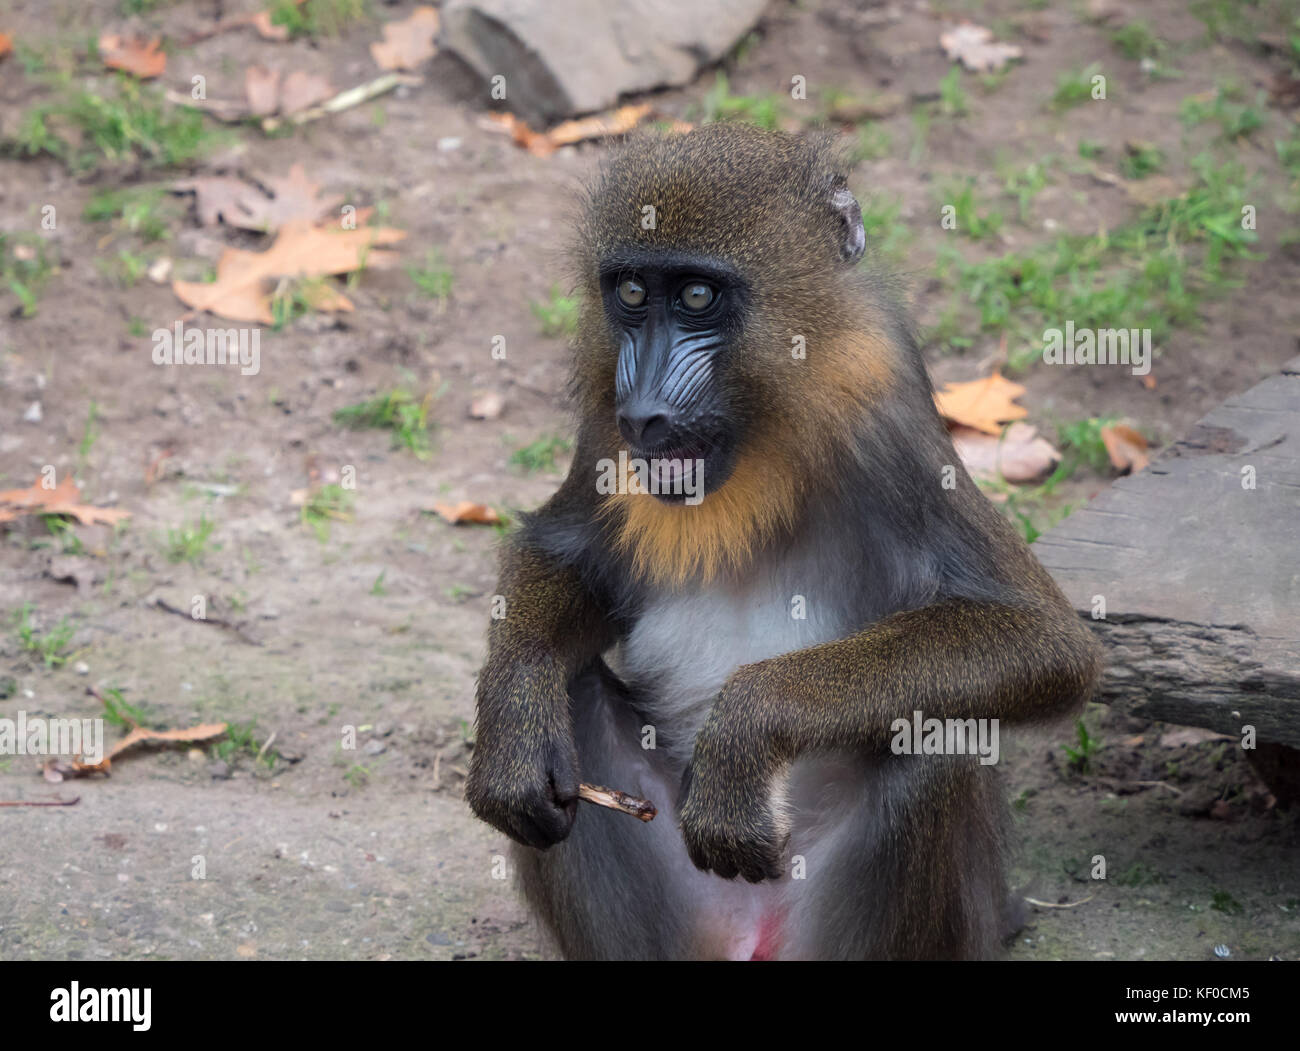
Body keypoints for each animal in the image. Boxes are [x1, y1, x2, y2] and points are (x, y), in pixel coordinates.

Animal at [464, 122, 1103, 960]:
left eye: (697, 296)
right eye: (631, 293)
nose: (646, 412)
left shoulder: (885, 418)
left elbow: (1040, 636)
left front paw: (746, 728)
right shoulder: (603, 425)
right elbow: (562, 555)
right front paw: (512, 728)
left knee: (930, 739)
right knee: (571, 688)